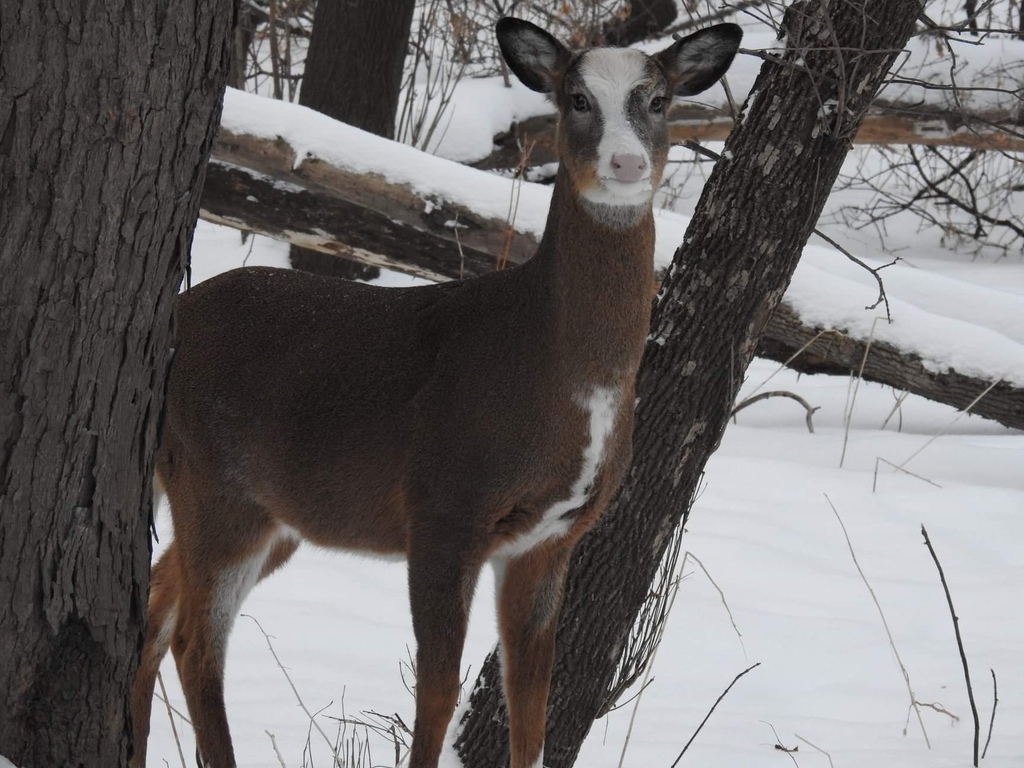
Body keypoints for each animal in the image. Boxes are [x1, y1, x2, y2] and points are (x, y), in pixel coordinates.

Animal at [130, 16, 741, 768]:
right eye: (576, 99)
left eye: (658, 100)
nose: (626, 165)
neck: (559, 372)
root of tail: (174, 315)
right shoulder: (445, 508)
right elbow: (438, 690)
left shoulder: (551, 537)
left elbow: (530, 699)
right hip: (216, 483)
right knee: (196, 645)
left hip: (273, 513)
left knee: (157, 605)